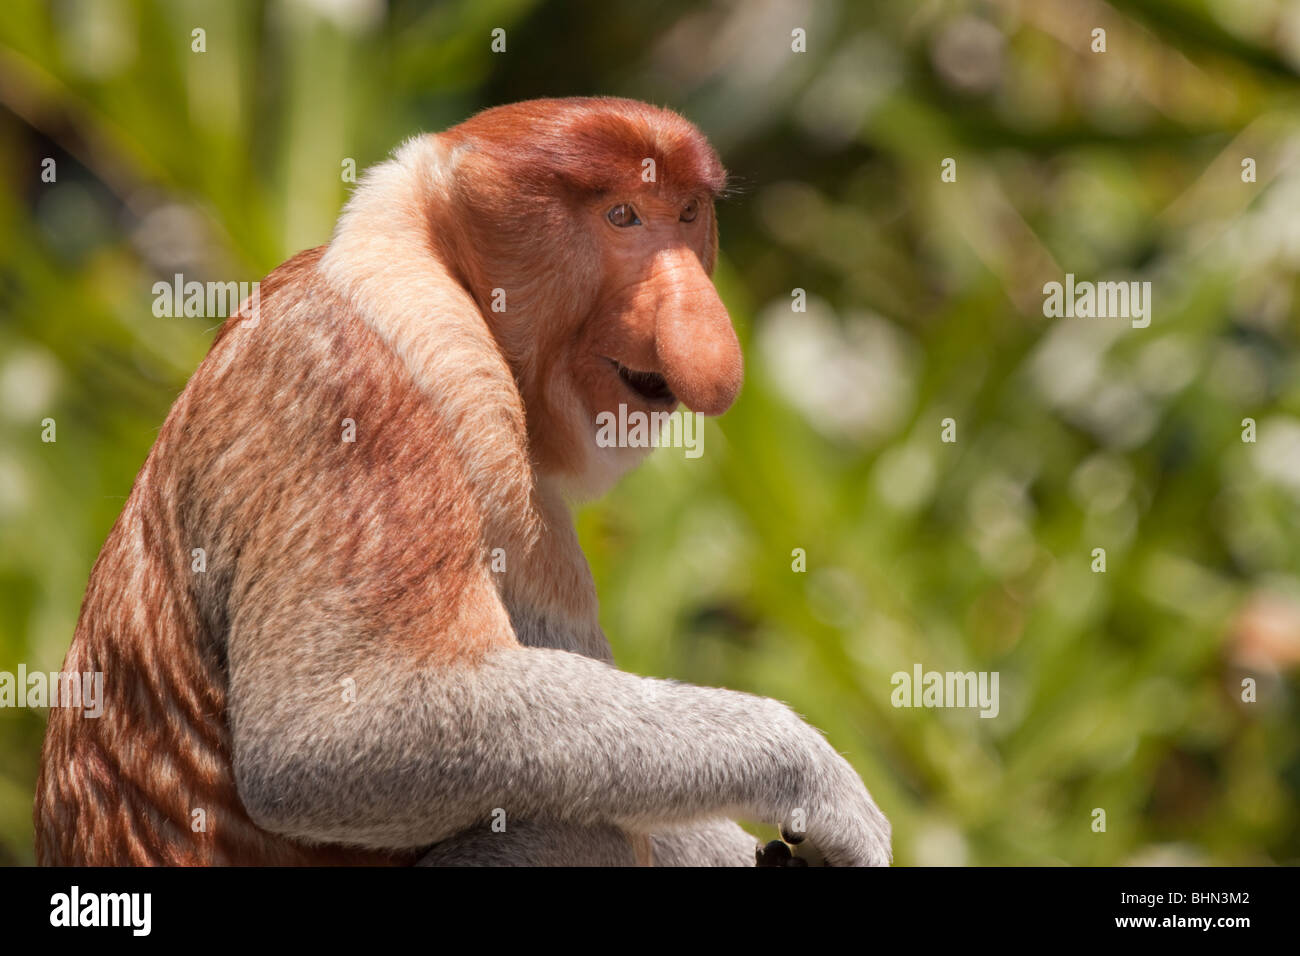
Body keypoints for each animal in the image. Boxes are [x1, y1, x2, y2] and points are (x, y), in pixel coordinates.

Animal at [34, 97, 891, 867]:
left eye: (686, 215)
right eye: (621, 217)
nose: (704, 334)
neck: (425, 256)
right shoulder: (389, 386)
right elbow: (325, 735)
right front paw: (821, 786)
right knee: (570, 825)